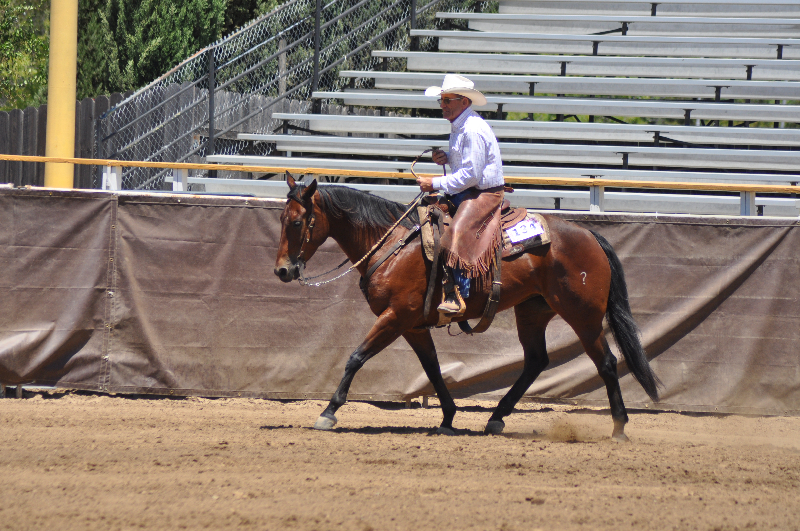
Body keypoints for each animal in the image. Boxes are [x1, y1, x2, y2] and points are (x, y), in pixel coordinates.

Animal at [273, 175, 661, 441]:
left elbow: (356, 357)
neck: (392, 246)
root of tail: (590, 236)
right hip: (532, 312)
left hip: (583, 315)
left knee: (606, 363)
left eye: (297, 222)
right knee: (536, 361)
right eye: (281, 220)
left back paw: (619, 427)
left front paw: (328, 411)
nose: (282, 271)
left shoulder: (395, 317)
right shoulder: (413, 325)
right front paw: (447, 417)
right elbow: (432, 369)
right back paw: (496, 418)